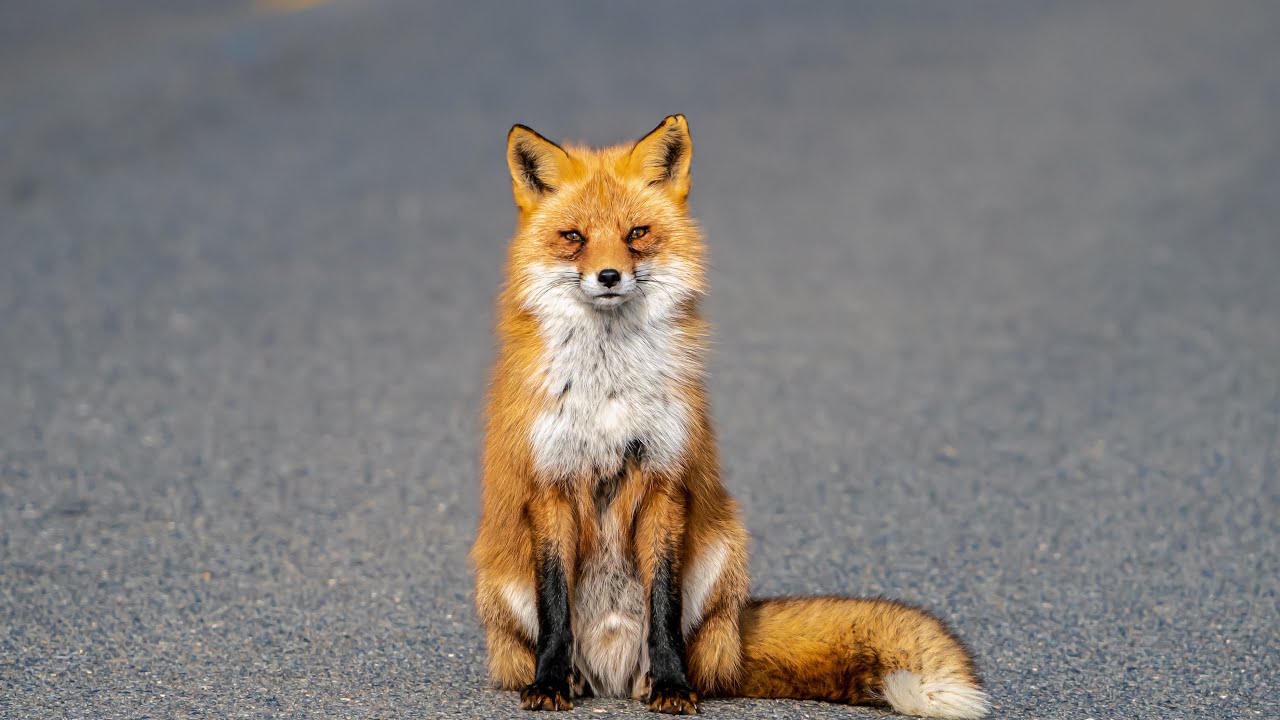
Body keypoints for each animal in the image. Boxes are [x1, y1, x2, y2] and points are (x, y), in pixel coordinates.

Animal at [470, 115, 989, 718]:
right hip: (501, 579)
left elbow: (664, 608)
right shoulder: (550, 483)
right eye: (574, 237)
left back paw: (660, 680)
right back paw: (571, 678)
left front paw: (672, 686)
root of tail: (611, 675)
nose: (608, 276)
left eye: (637, 234)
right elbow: (556, 607)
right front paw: (549, 681)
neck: (609, 388)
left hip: (724, 553)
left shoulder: (665, 480)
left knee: (698, 657)